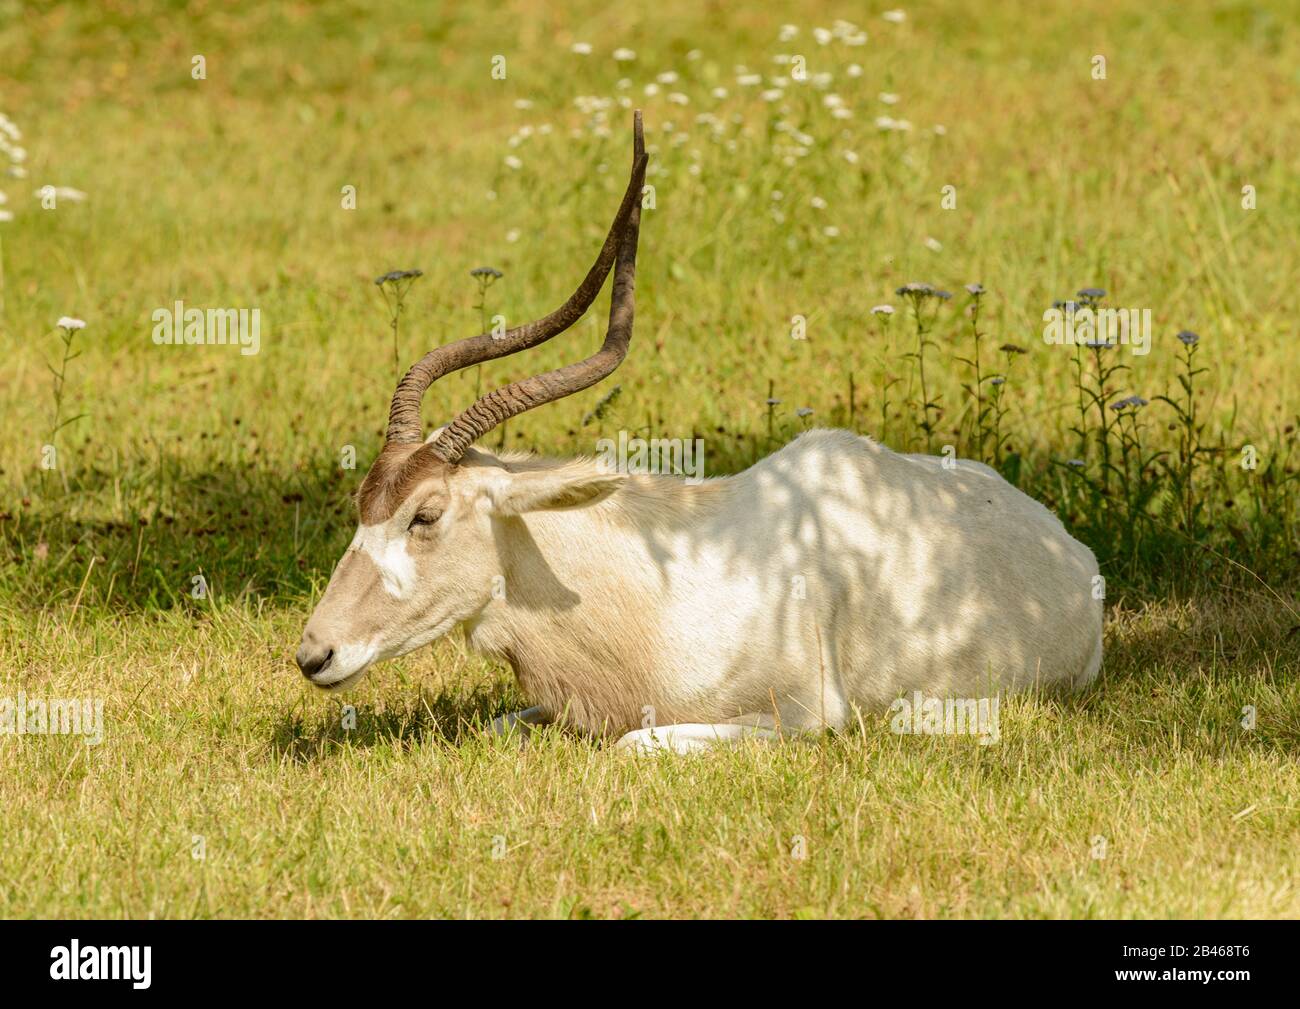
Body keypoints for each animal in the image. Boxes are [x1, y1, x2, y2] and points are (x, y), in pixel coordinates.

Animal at [296, 113, 1103, 753]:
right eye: (361, 506)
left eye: (426, 514)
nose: (314, 653)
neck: (657, 588)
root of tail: (1064, 542)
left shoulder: (802, 720)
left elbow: (635, 743)